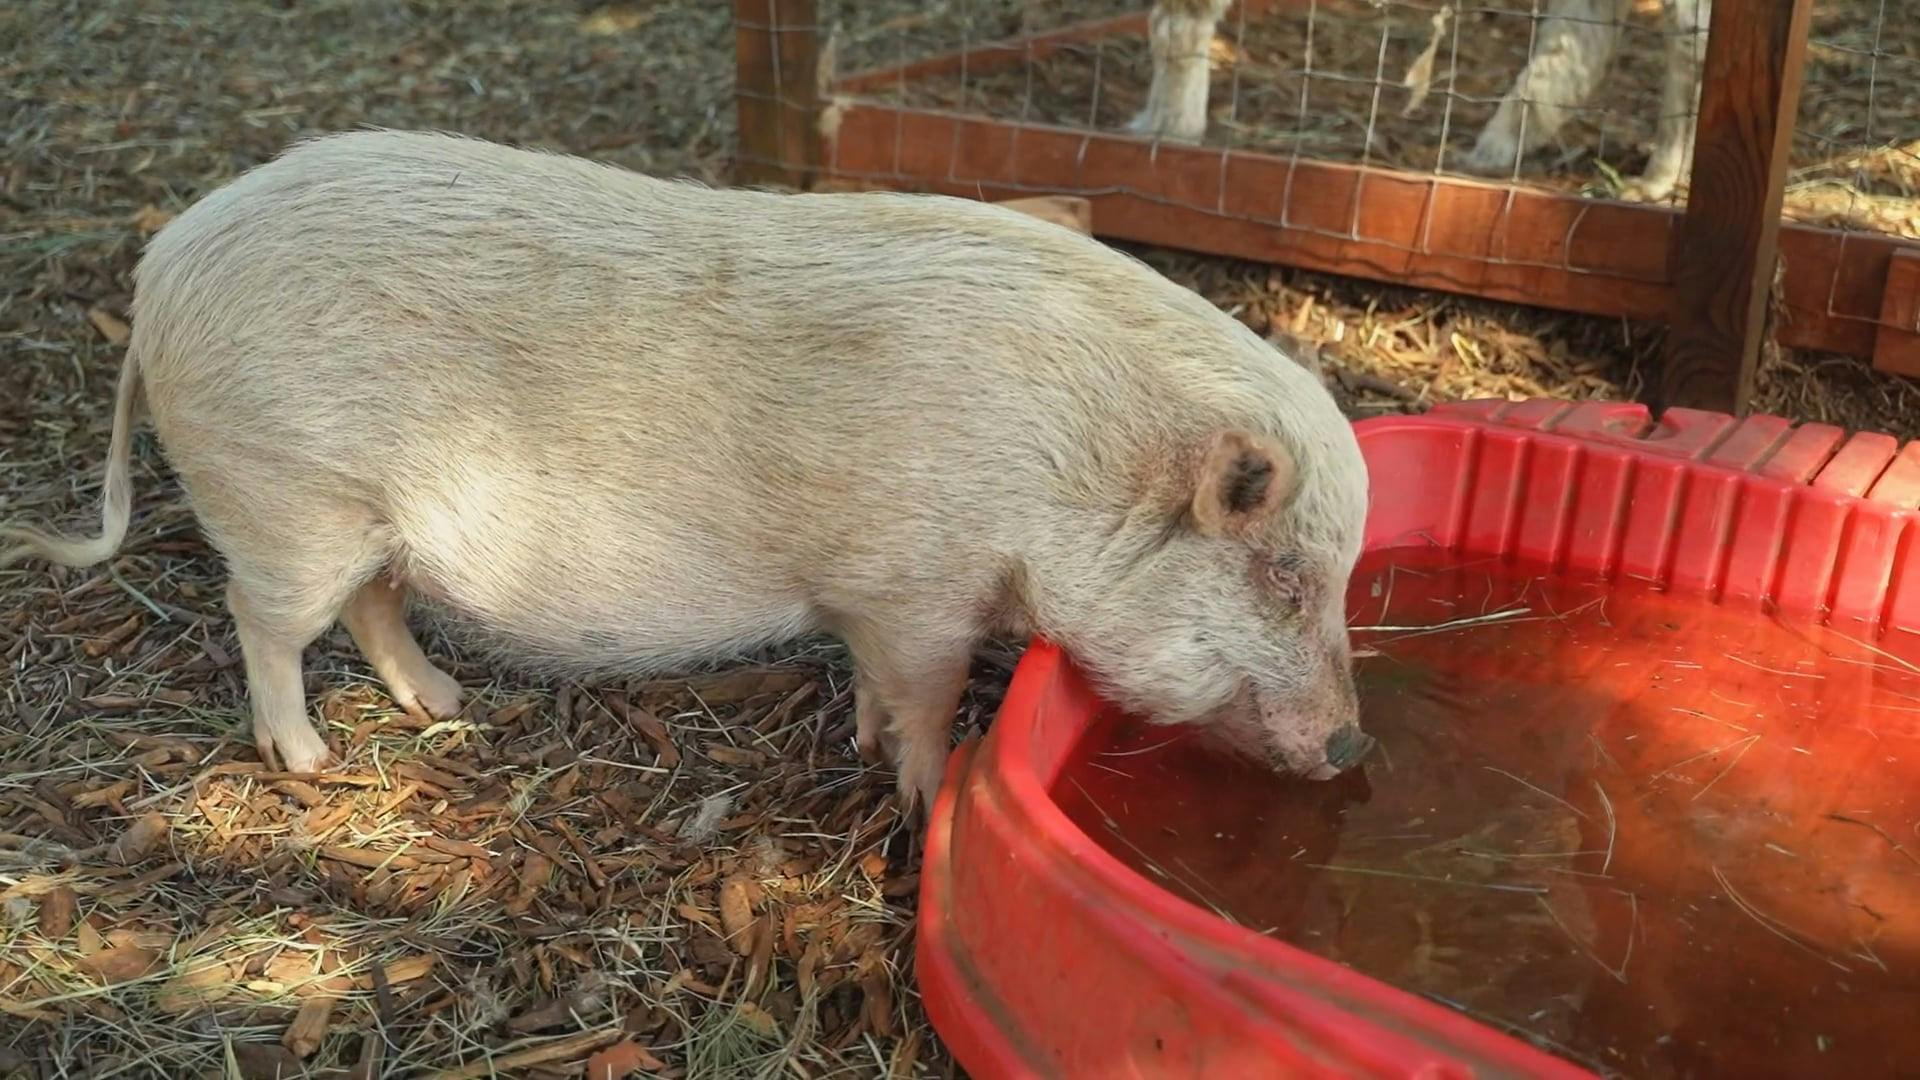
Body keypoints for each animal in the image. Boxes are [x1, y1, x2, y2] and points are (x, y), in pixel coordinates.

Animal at [0, 129, 1373, 808]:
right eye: (1287, 577)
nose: (1357, 747)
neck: (1069, 465)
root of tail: (162, 269)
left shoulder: (885, 597)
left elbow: (879, 688)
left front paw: (868, 745)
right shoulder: (915, 586)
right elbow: (929, 694)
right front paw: (928, 794)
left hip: (366, 519)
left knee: (375, 604)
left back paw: (446, 707)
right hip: (285, 496)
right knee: (266, 620)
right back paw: (311, 764)